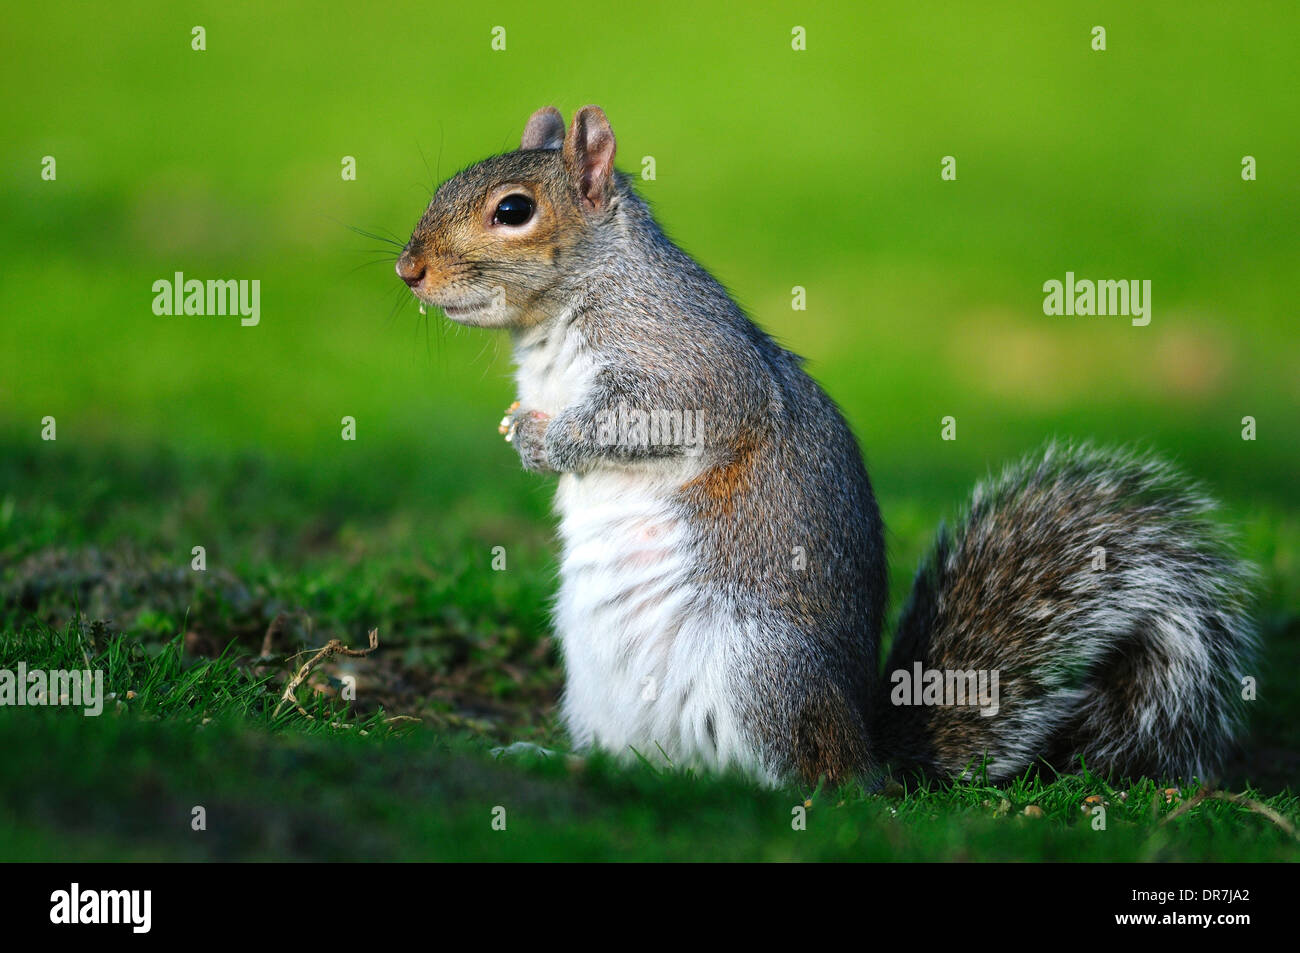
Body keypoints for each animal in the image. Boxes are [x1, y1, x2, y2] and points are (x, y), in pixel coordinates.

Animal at [395, 105, 1258, 788]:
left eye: (514, 210)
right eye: (444, 186)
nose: (408, 268)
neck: (553, 322)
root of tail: (869, 756)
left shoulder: (687, 362)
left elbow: (666, 414)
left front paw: (554, 437)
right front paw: (523, 436)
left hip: (761, 671)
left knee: (801, 779)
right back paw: (563, 759)